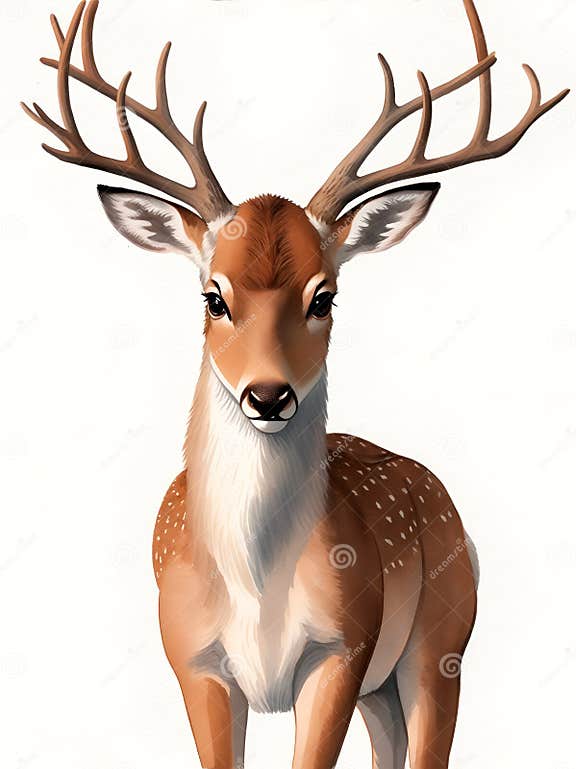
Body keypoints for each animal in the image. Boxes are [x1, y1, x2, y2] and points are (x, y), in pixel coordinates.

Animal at [22, 1, 568, 767]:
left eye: (324, 296)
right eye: (213, 296)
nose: (269, 395)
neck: (259, 589)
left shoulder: (341, 648)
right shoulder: (192, 656)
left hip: (441, 641)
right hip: (383, 686)